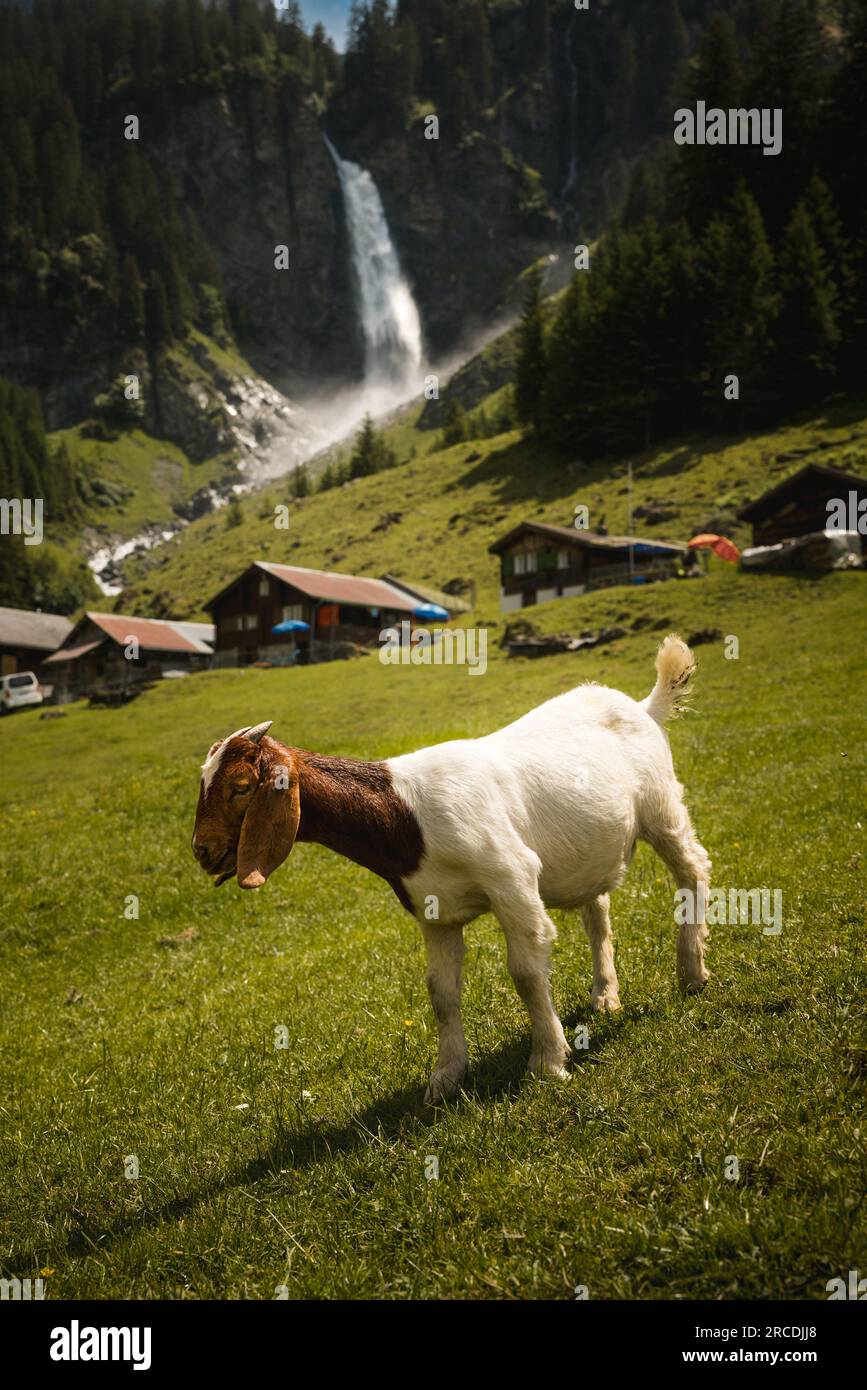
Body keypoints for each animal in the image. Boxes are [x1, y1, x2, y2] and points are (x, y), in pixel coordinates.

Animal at [192, 635, 711, 1102]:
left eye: (241, 787)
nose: (201, 850)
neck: (405, 816)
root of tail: (644, 706)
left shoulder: (513, 879)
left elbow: (525, 972)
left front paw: (548, 1061)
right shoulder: (434, 909)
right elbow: (441, 992)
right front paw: (445, 1078)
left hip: (661, 806)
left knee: (693, 871)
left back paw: (691, 972)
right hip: (589, 848)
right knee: (596, 912)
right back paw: (605, 996)